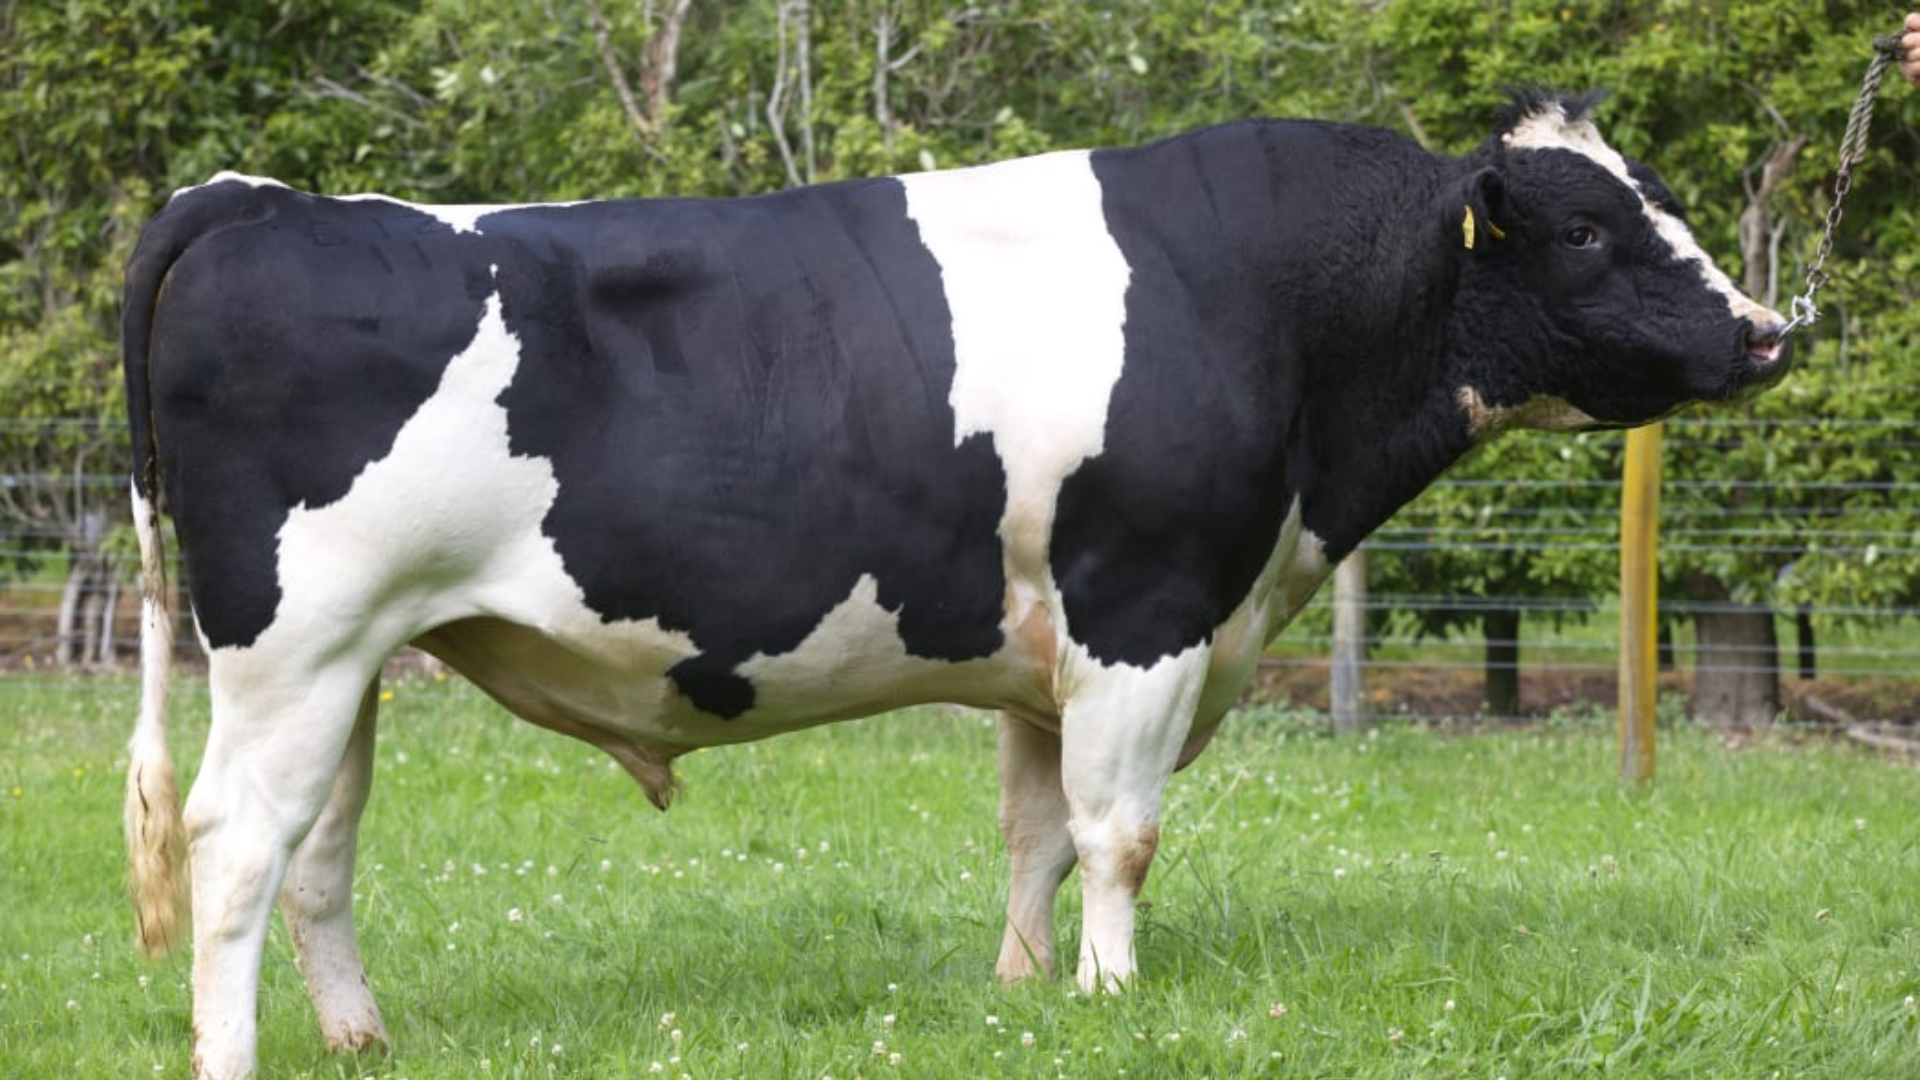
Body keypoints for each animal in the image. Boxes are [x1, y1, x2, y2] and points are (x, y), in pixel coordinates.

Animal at [122, 88, 1788, 1079]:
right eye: (1591, 227)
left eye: (1653, 199)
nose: (1771, 330)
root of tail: (266, 199)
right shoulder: (1145, 610)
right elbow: (1120, 834)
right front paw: (1111, 996)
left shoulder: (1050, 647)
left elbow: (1034, 832)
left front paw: (1023, 990)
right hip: (291, 646)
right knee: (233, 849)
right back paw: (231, 1056)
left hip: (354, 664)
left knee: (319, 853)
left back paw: (359, 1038)